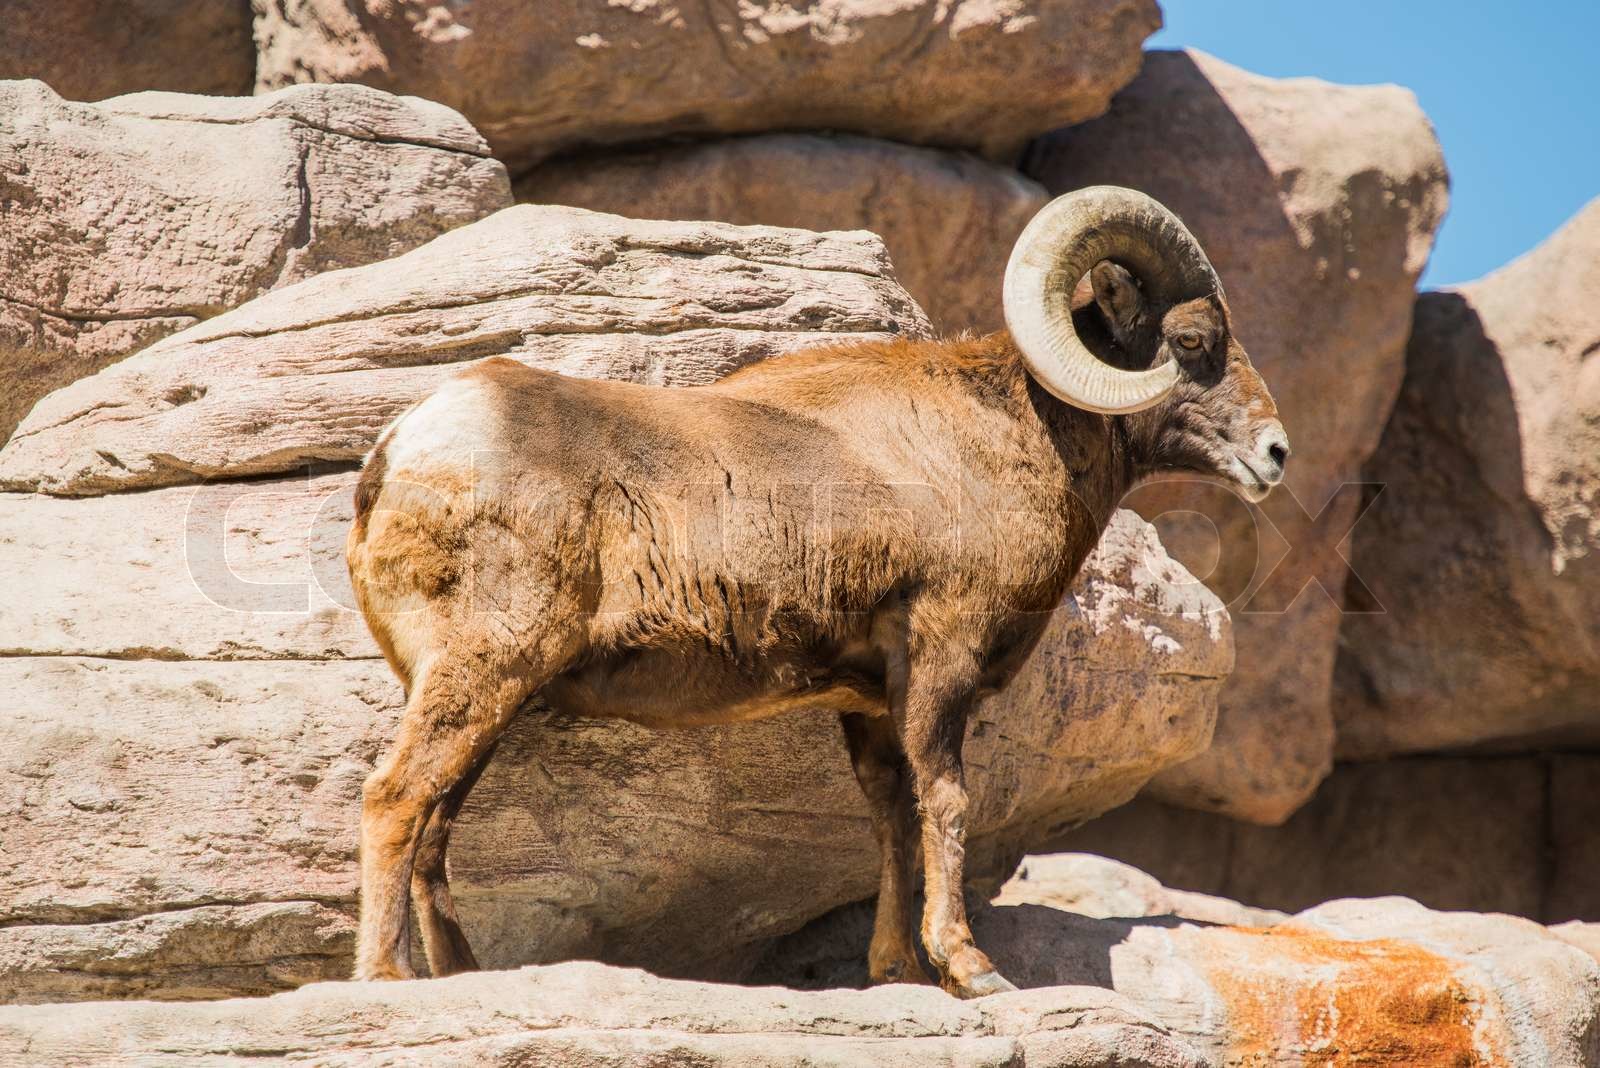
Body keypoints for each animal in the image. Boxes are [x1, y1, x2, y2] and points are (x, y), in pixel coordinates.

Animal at [345, 186, 1289, 997]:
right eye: (1192, 342)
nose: (1275, 454)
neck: (1006, 442)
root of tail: (401, 449)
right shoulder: (941, 660)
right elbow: (947, 801)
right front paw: (970, 970)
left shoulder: (873, 704)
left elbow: (894, 818)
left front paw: (897, 971)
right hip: (484, 670)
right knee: (396, 800)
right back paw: (385, 978)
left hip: (492, 698)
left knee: (435, 825)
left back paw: (457, 977)